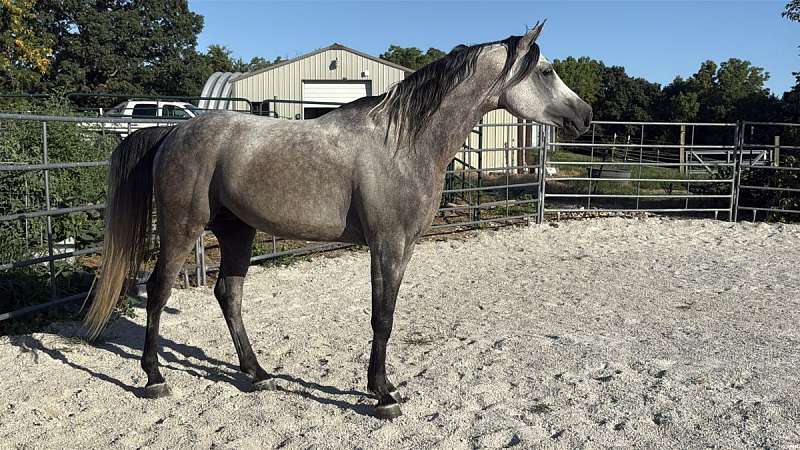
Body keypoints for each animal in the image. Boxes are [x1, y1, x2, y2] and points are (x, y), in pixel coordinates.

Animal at [84, 22, 592, 419]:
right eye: (546, 71)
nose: (585, 115)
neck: (401, 142)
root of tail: (173, 130)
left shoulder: (404, 246)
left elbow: (387, 316)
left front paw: (383, 386)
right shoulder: (386, 244)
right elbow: (382, 318)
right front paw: (382, 395)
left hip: (237, 230)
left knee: (229, 294)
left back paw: (258, 373)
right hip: (181, 229)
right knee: (158, 293)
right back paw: (154, 377)